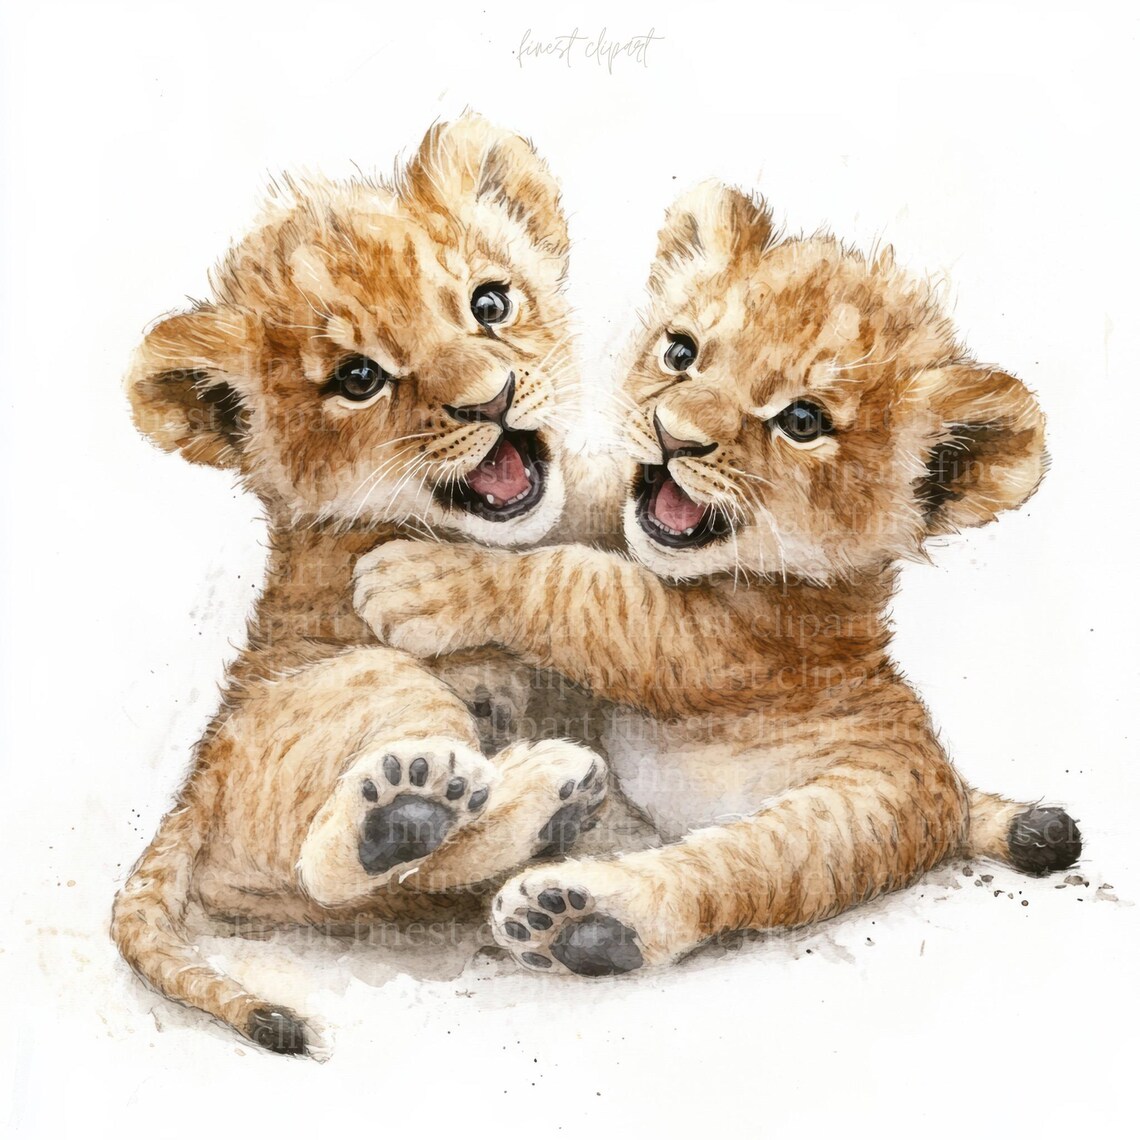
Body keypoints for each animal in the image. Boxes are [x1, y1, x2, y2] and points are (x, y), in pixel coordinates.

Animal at [112, 115, 624, 1054]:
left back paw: (546, 808)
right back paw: (426, 803)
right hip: (380, 682)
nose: (491, 400)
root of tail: (193, 789)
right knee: (346, 866)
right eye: (359, 379)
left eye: (489, 304)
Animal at [353, 180, 1083, 977]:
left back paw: (581, 920)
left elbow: (575, 585)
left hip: (857, 812)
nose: (673, 436)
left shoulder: (731, 647)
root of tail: (949, 782)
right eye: (682, 352)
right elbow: (578, 501)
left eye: (803, 421)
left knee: (737, 869)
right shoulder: (616, 511)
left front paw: (418, 580)